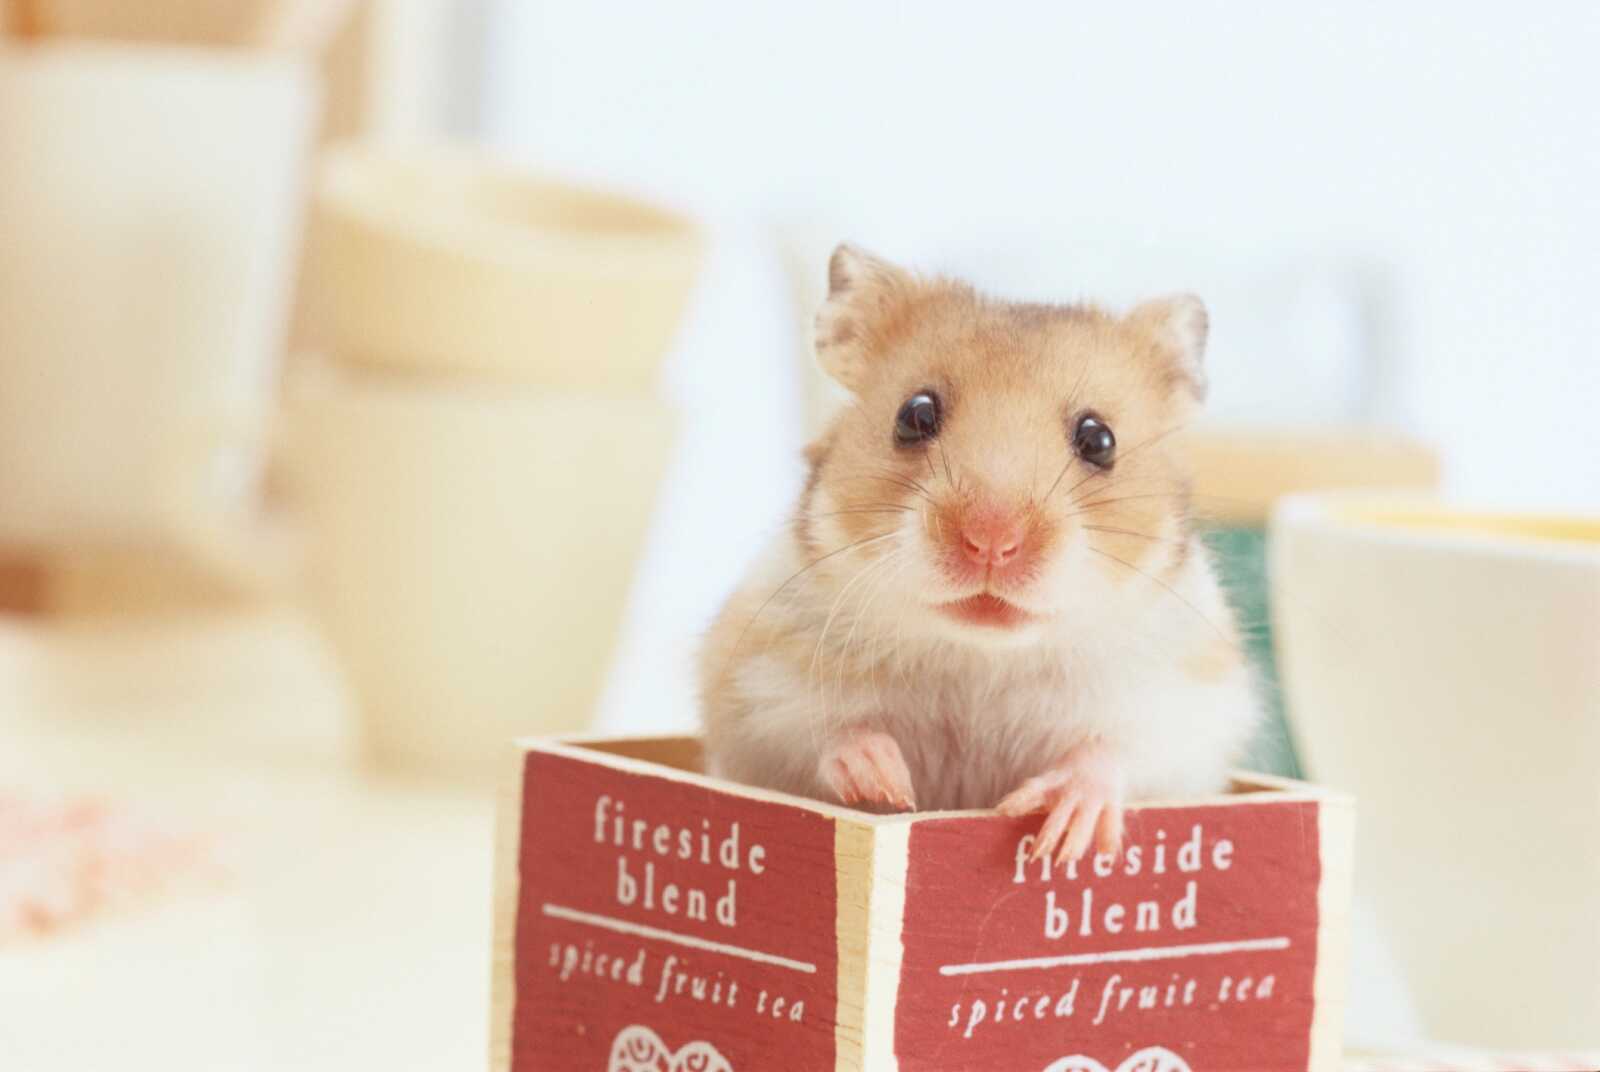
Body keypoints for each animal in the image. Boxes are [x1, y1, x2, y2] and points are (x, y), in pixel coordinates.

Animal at [699, 244, 1257, 865]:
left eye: (1099, 439)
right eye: (914, 414)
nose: (991, 541)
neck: (982, 655)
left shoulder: (1189, 706)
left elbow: (1116, 752)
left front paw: (1057, 835)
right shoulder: (750, 683)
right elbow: (822, 729)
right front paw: (889, 784)